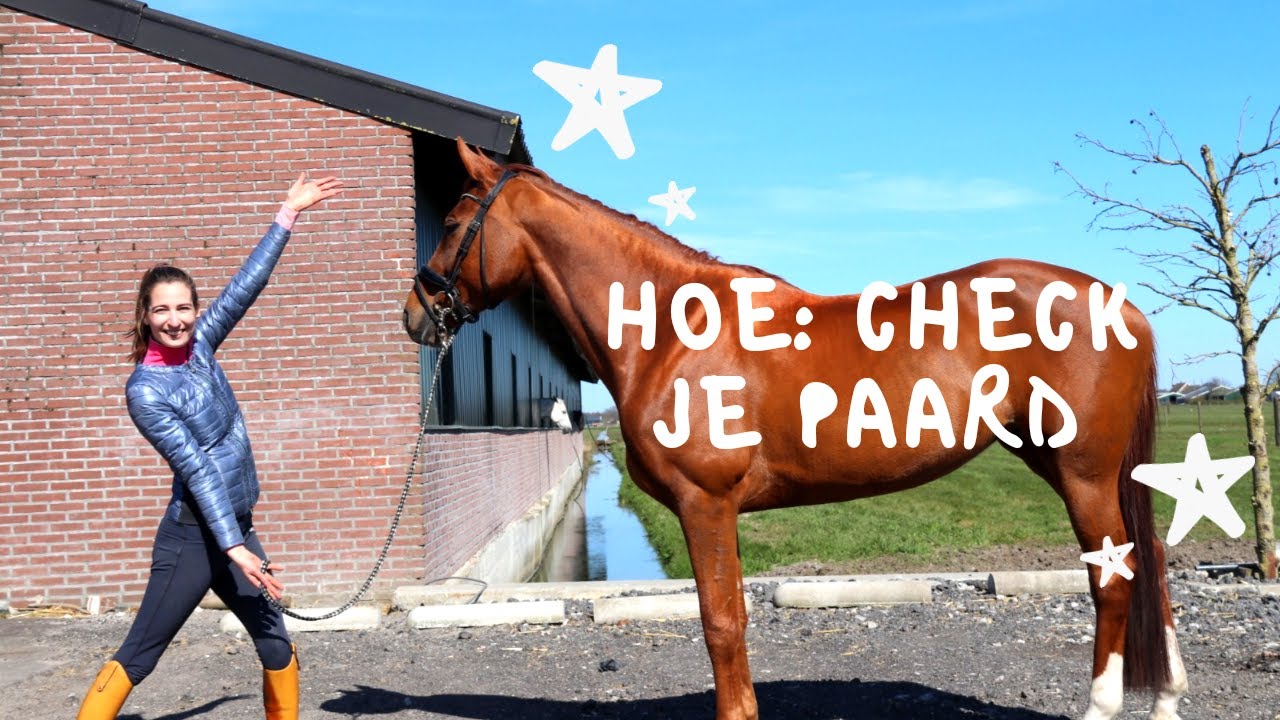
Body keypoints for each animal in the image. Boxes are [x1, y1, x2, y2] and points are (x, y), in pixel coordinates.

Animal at [402, 138, 1187, 720]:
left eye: (454, 224)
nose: (416, 315)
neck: (670, 331)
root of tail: (1124, 306)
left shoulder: (705, 505)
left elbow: (722, 625)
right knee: (1148, 561)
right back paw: (1166, 699)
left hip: (1082, 472)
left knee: (1115, 577)